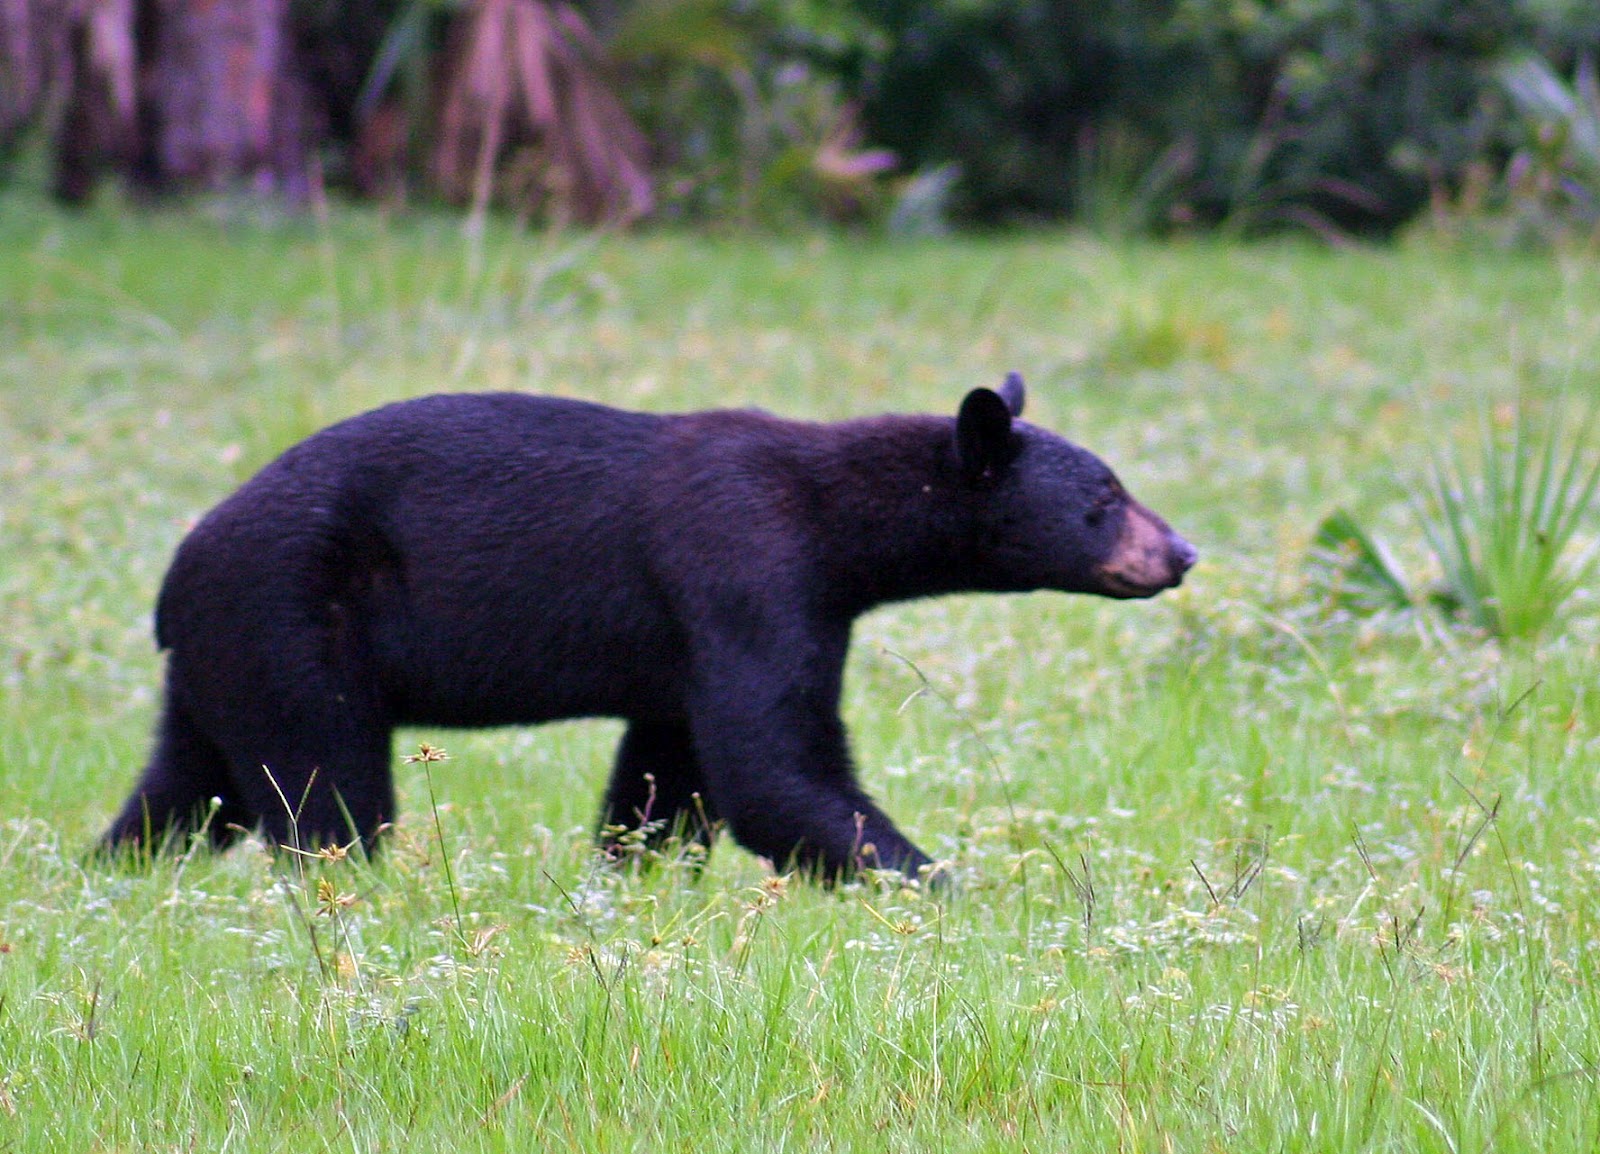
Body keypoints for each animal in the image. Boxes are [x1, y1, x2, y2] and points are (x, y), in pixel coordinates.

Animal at [102, 373, 1196, 880]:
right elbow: (774, 768)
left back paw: (114, 875)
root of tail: (173, 578)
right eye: (1105, 498)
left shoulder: (704, 639)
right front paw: (945, 886)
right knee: (325, 790)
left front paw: (633, 871)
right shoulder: (746, 570)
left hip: (222, 658)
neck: (835, 522)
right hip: (295, 620)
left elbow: (670, 774)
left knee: (185, 789)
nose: (1181, 551)